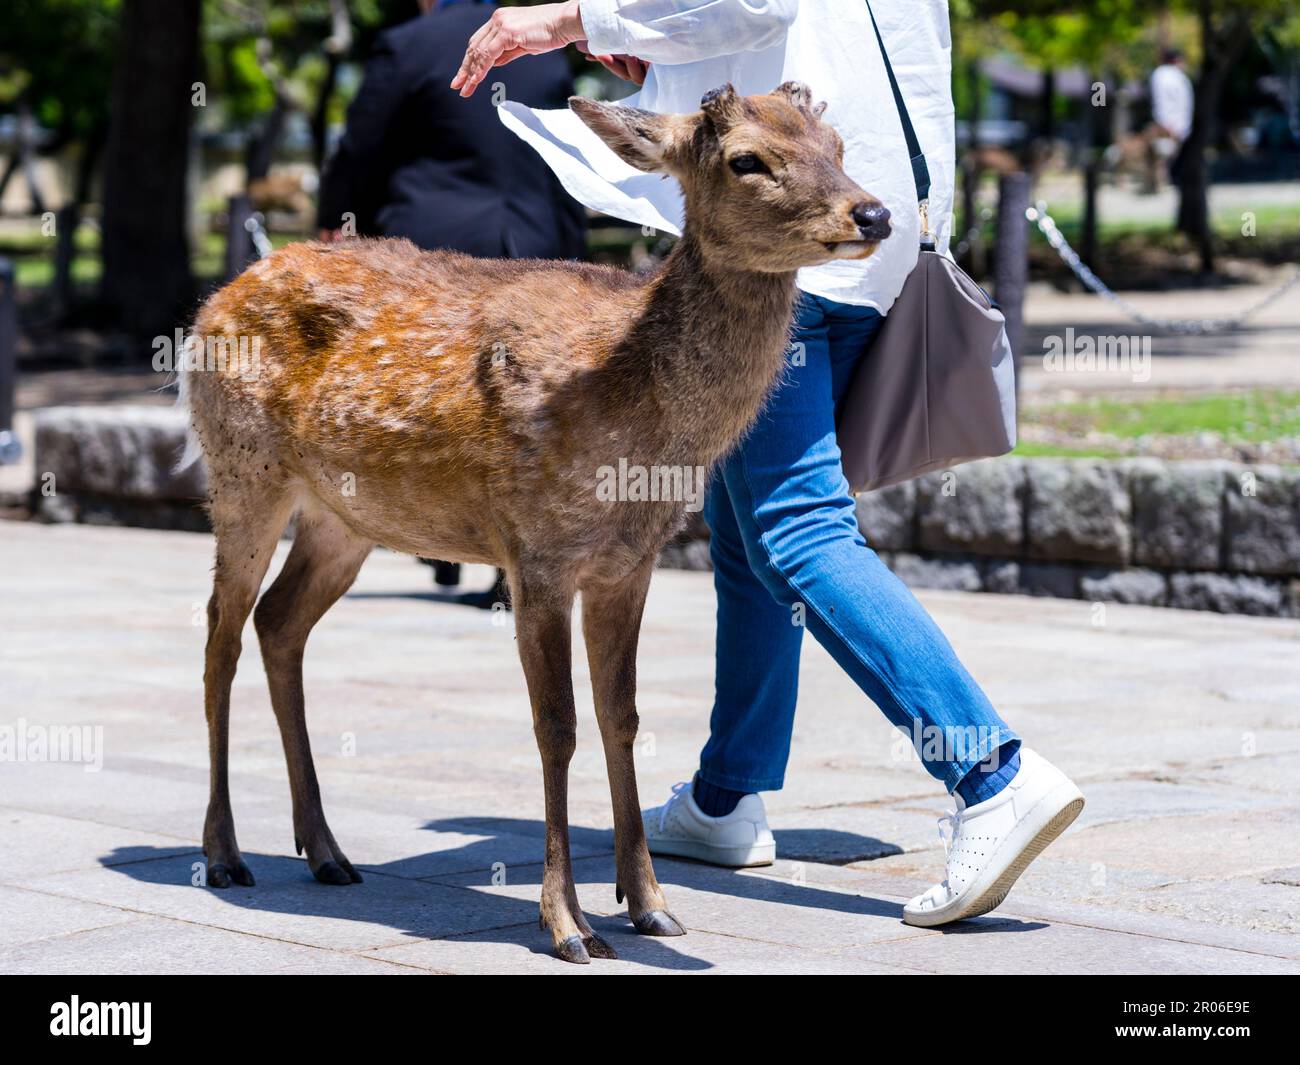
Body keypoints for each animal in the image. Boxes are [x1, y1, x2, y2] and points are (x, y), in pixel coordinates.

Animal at [181, 81, 891, 964]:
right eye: (748, 159)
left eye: (837, 143)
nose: (874, 213)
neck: (638, 422)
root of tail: (217, 296)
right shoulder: (536, 550)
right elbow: (556, 724)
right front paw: (568, 924)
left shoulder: (630, 560)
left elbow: (622, 717)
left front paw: (650, 905)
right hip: (241, 474)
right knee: (219, 634)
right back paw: (223, 852)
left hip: (343, 518)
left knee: (279, 623)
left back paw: (327, 851)